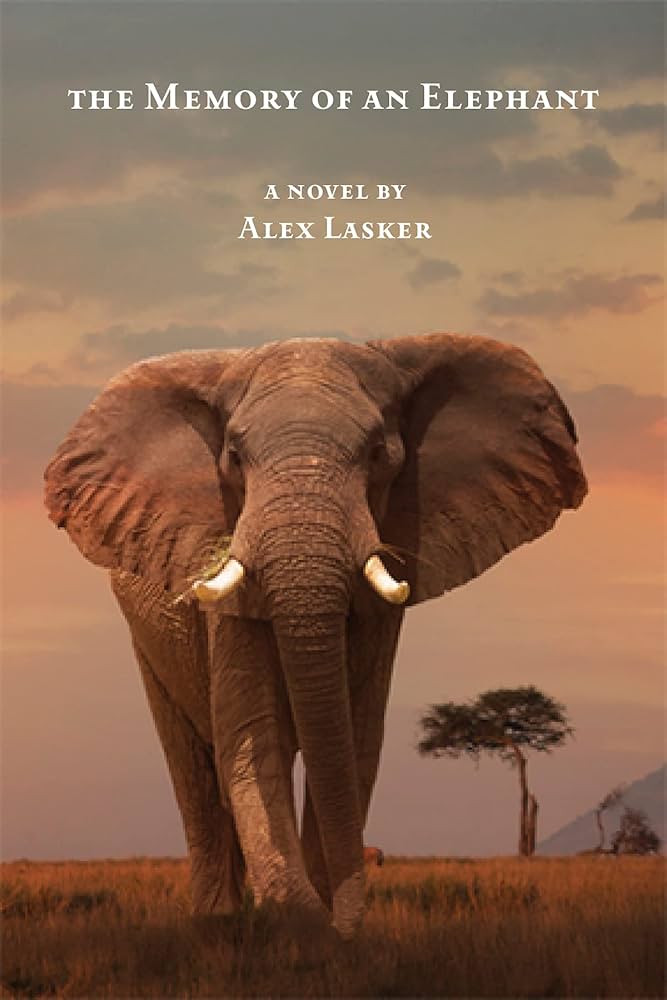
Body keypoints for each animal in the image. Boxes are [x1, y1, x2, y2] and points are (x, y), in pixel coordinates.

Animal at [44, 333, 586, 938]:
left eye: (378, 454)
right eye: (234, 457)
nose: (342, 923)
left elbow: (354, 736)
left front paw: (325, 928)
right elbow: (256, 733)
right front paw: (299, 921)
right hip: (146, 636)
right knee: (195, 770)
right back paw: (218, 923)